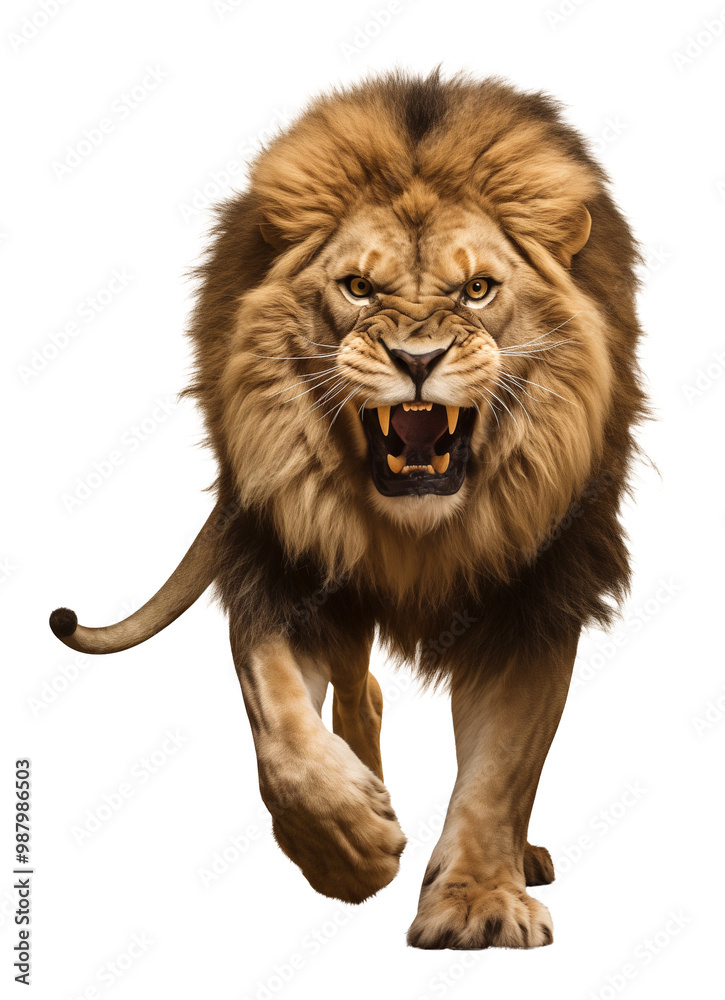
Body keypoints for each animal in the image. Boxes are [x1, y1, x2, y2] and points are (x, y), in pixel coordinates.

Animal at [49, 70, 646, 949]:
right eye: (359, 288)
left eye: (477, 289)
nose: (417, 358)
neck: (420, 532)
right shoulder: (279, 565)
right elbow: (283, 737)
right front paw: (350, 849)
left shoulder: (535, 597)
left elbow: (503, 768)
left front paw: (476, 900)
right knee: (359, 696)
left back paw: (519, 857)